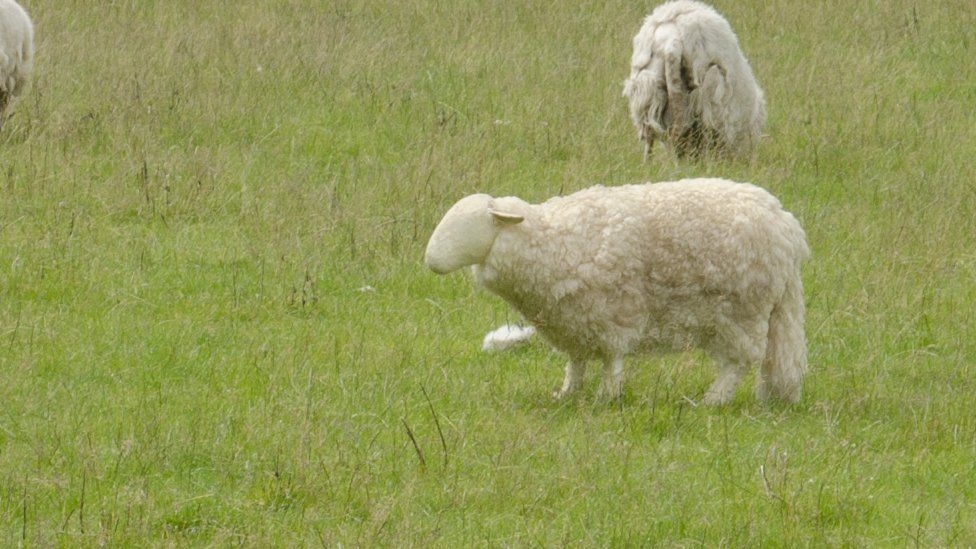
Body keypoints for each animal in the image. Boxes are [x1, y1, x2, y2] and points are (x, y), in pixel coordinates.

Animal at [425, 178, 809, 404]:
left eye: (467, 225)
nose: (430, 261)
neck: (551, 239)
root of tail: (787, 226)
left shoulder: (611, 316)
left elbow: (612, 361)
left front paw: (606, 399)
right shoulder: (572, 322)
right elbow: (576, 363)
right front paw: (567, 393)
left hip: (741, 311)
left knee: (739, 362)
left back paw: (711, 400)